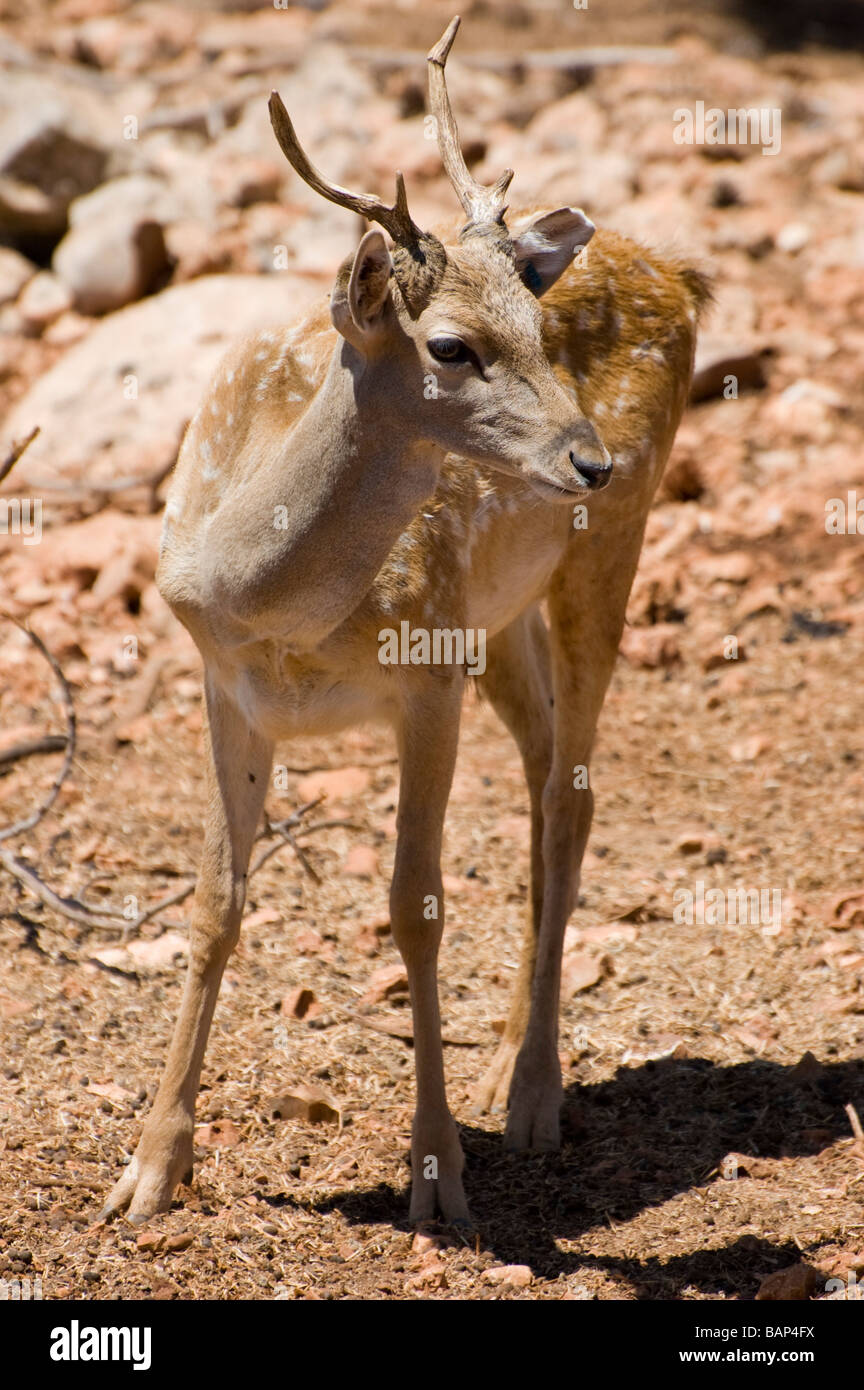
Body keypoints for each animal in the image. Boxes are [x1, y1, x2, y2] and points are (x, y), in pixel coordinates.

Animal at [102, 16, 710, 1229]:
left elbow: (414, 905)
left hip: (604, 551)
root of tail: (672, 269)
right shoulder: (225, 685)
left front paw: (436, 1171)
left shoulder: (425, 673)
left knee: (572, 794)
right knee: (544, 770)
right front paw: (149, 1170)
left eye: (537, 328)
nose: (589, 457)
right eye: (451, 345)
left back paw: (530, 1098)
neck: (272, 608)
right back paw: (509, 1059)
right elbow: (215, 903)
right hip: (501, 612)